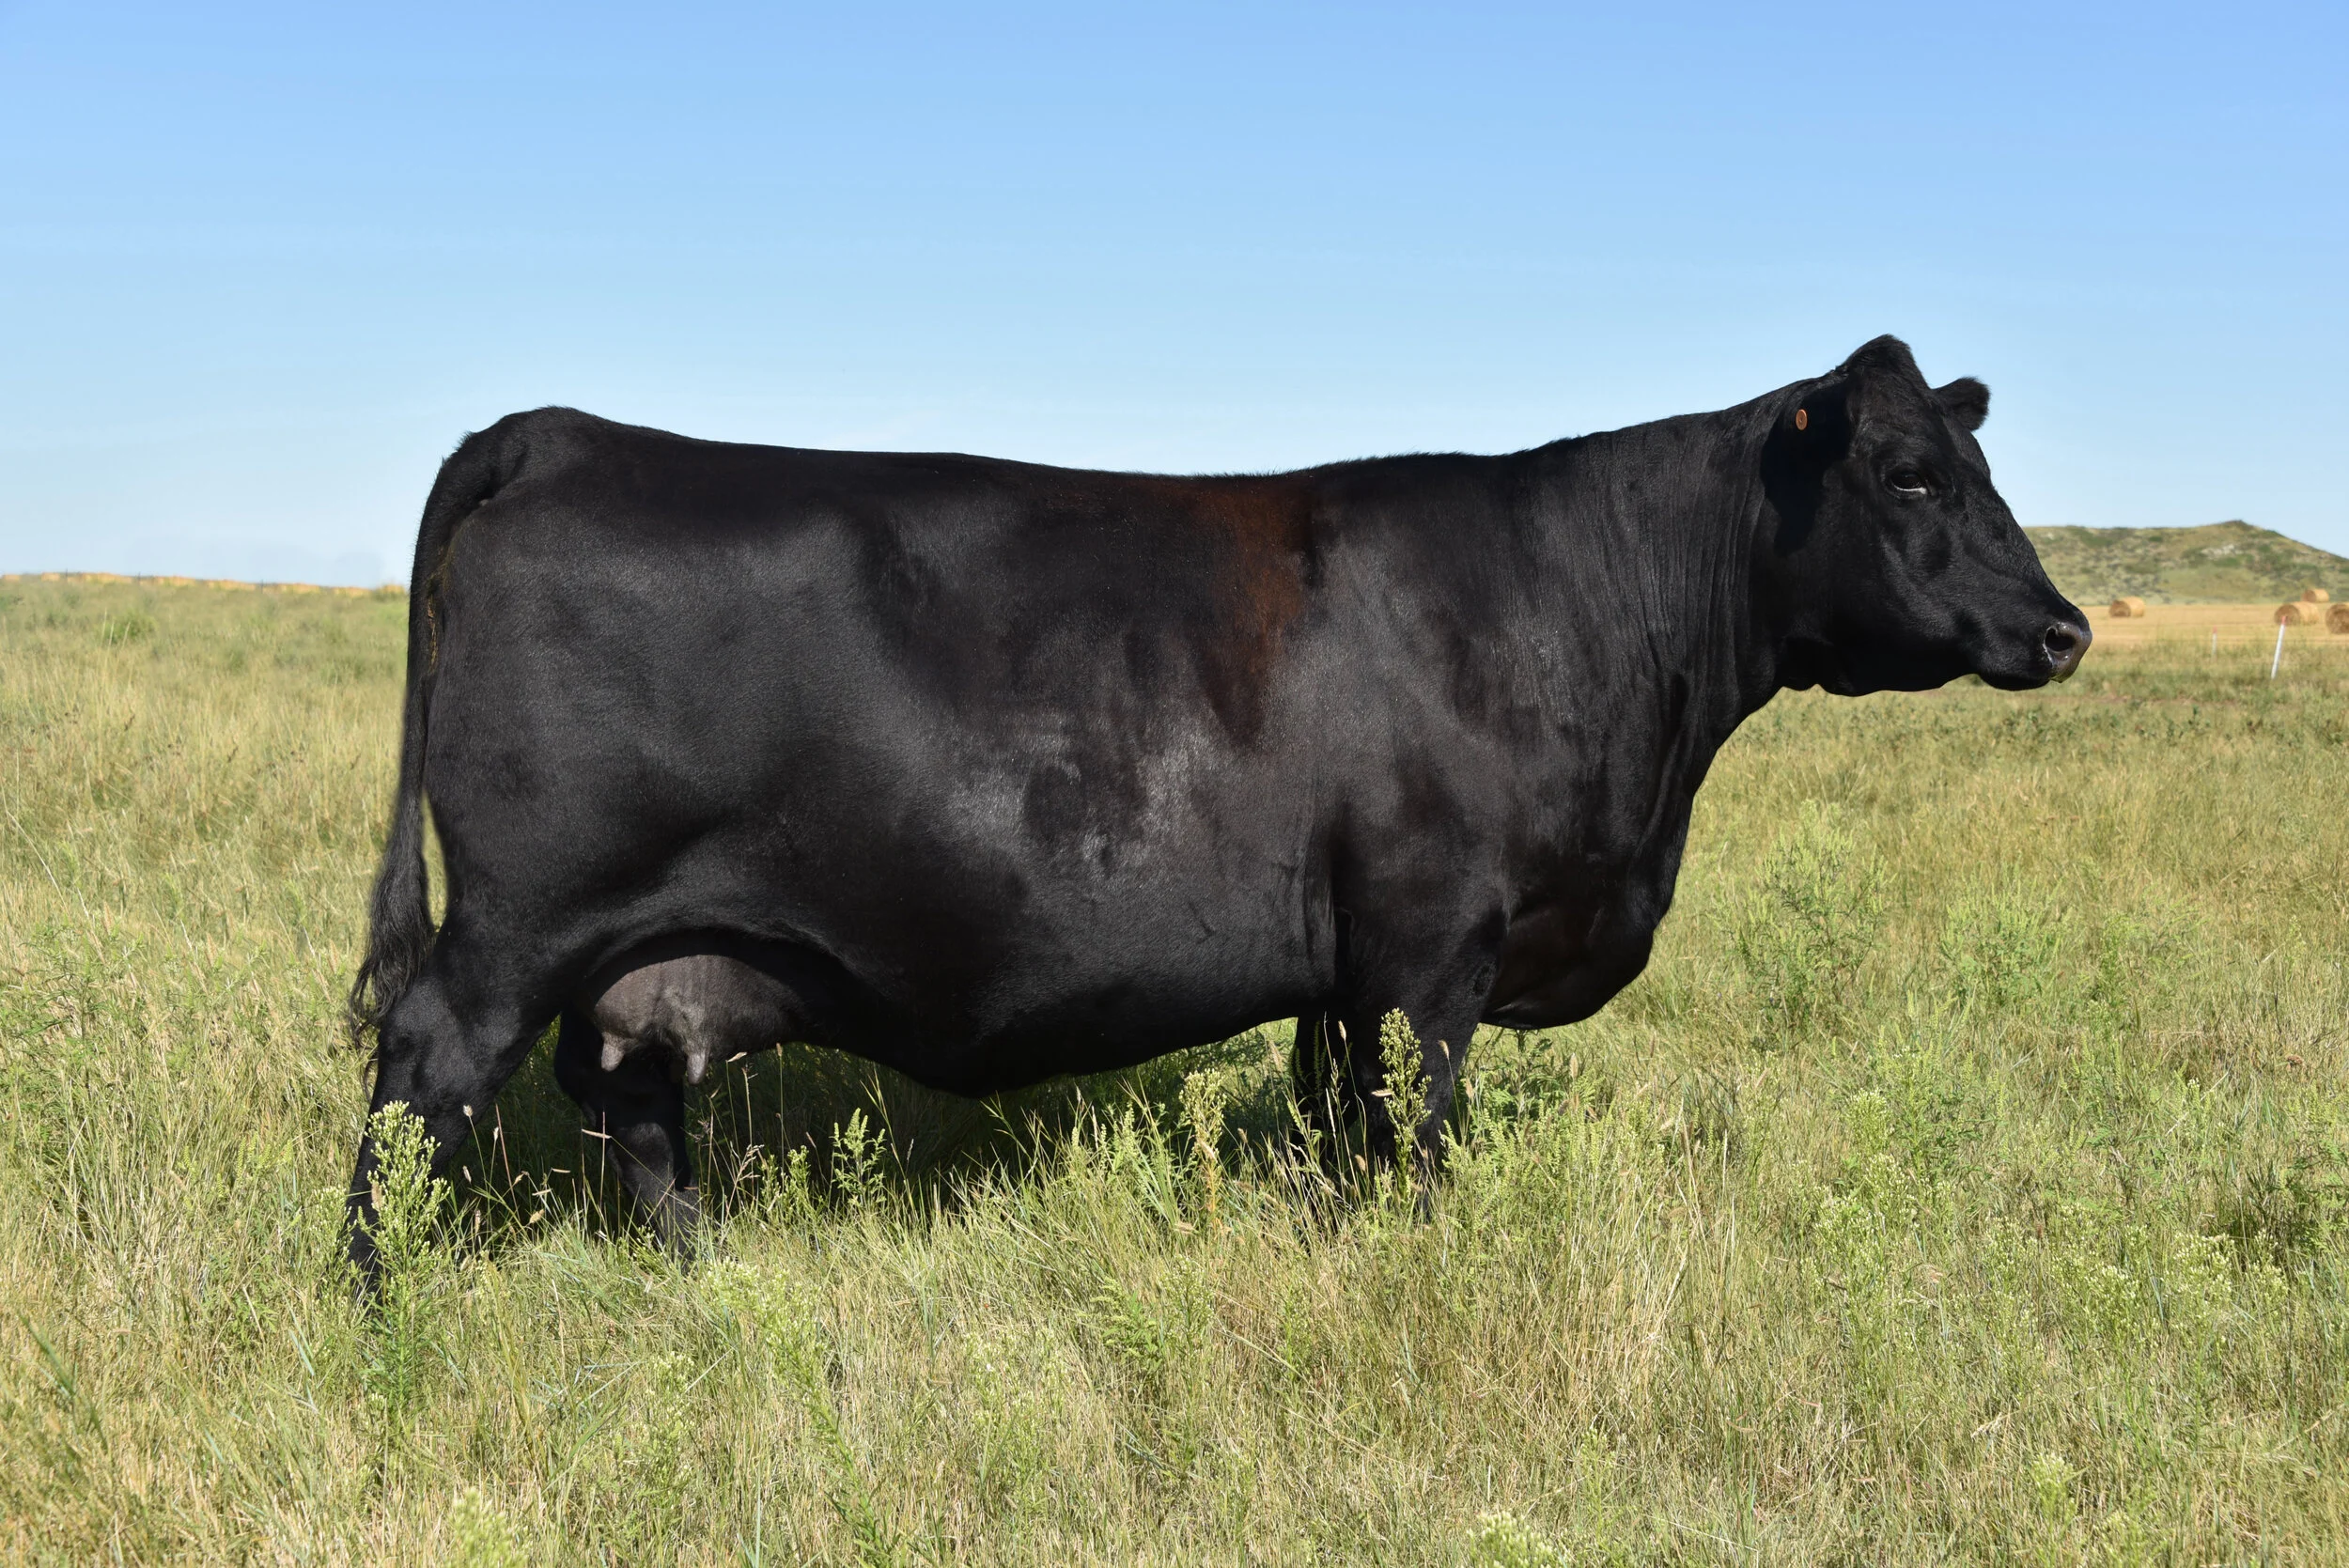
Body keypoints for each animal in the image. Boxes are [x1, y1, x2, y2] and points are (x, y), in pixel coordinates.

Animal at [343, 335, 2088, 1279]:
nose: (2065, 627)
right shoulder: (1431, 946)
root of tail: (562, 431)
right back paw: (379, 1298)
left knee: (632, 1101)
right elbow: (1413, 1137)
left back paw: (711, 1274)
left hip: (641, 949)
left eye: (1978, 464)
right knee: (422, 1077)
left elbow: (1332, 1126)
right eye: (1909, 474)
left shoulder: (1341, 970)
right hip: (519, 920)